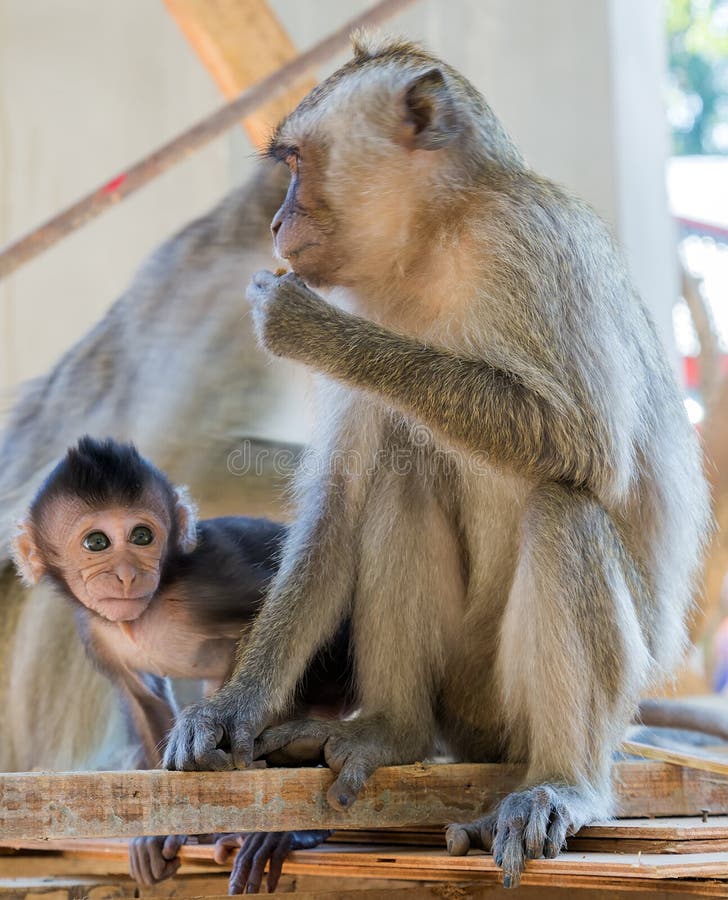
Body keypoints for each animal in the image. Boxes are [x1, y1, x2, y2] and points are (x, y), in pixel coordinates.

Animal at [11, 436, 351, 893]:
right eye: (96, 543)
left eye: (141, 536)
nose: (126, 574)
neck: (146, 614)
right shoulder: (95, 631)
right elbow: (143, 698)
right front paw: (166, 828)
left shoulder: (208, 583)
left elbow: (316, 615)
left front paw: (280, 824)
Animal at [162, 35, 711, 888]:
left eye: (297, 160)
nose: (279, 220)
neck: (433, 244)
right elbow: (339, 506)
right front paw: (231, 710)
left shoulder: (535, 243)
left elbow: (584, 442)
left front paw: (315, 332)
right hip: (463, 695)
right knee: (401, 480)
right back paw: (395, 729)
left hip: (558, 697)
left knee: (564, 508)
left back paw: (563, 781)